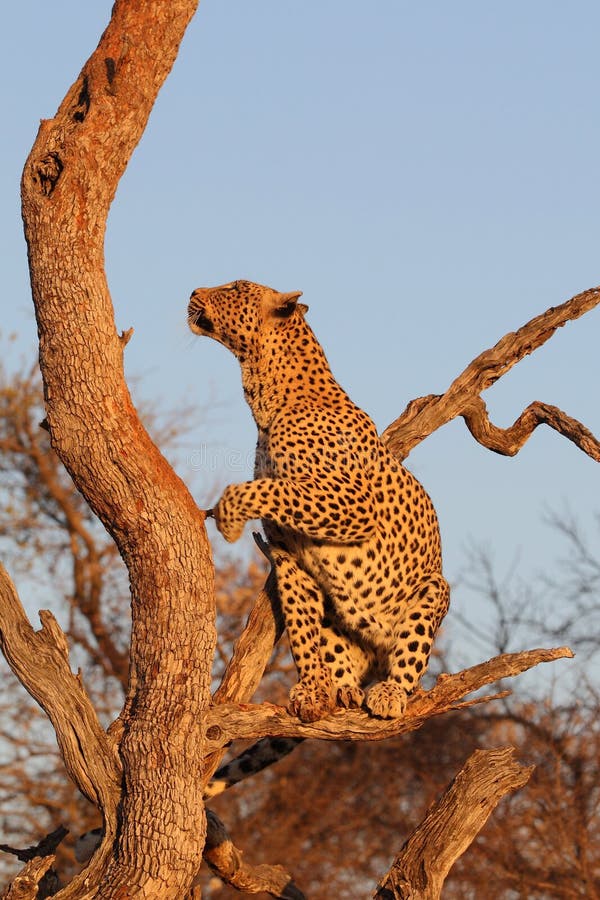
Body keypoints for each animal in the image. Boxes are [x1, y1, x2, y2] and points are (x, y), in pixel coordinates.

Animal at [187, 280, 450, 723]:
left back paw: (390, 692)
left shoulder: (353, 502)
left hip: (432, 589)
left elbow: (271, 488)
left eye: (234, 287)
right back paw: (343, 688)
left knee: (410, 657)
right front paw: (312, 688)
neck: (265, 399)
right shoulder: (289, 554)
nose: (193, 292)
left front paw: (228, 514)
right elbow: (300, 625)